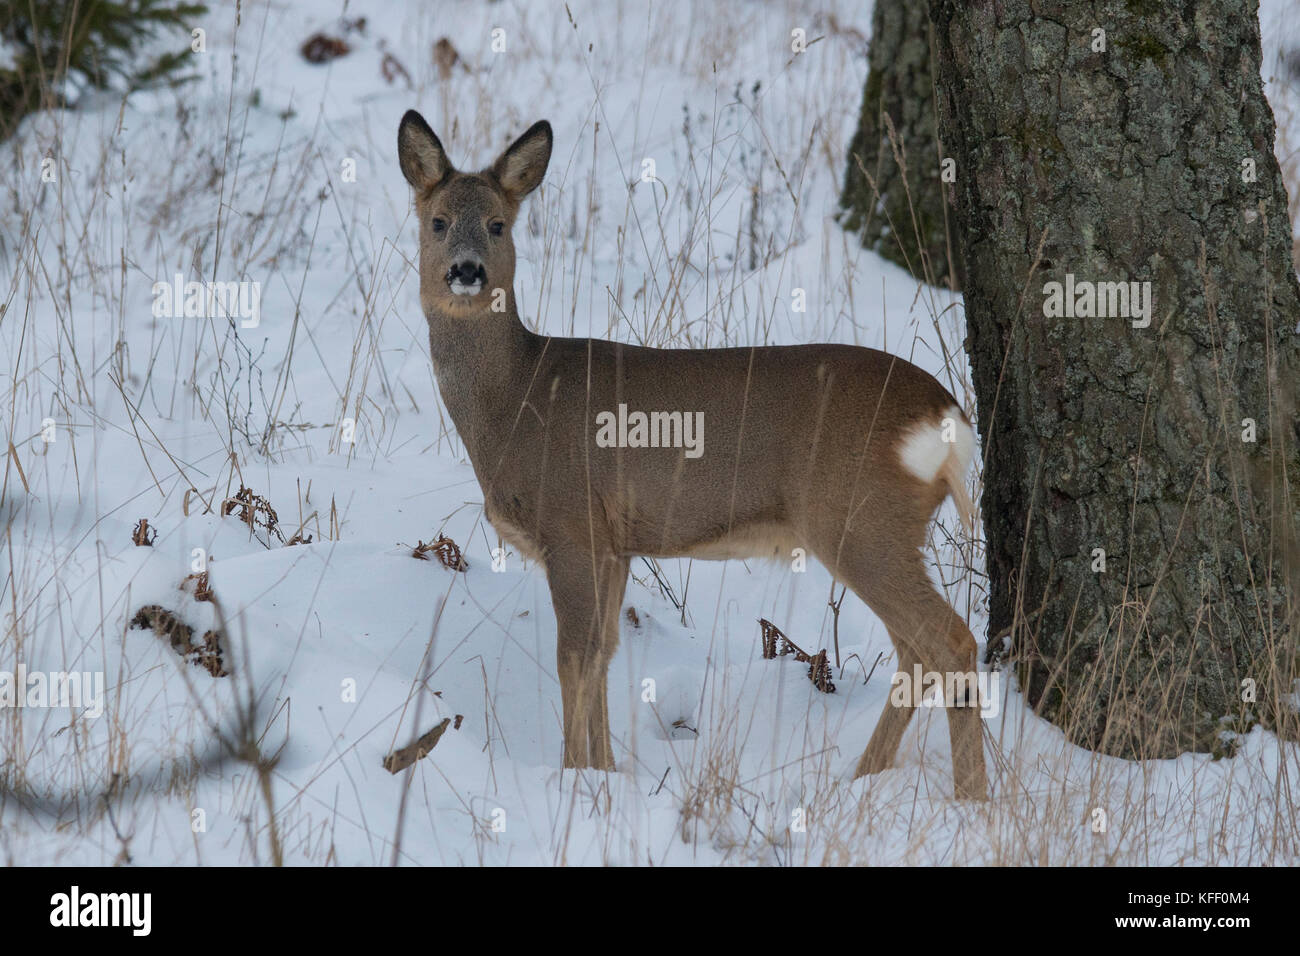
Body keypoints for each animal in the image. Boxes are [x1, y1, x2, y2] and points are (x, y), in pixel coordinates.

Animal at [397, 110, 989, 800]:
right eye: (438, 221)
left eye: (497, 224)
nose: (466, 270)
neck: (517, 398)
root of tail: (948, 416)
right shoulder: (616, 543)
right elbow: (602, 654)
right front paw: (605, 773)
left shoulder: (571, 524)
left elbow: (573, 657)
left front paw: (576, 779)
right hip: (882, 530)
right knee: (915, 651)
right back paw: (862, 779)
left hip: (859, 519)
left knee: (949, 641)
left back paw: (971, 800)